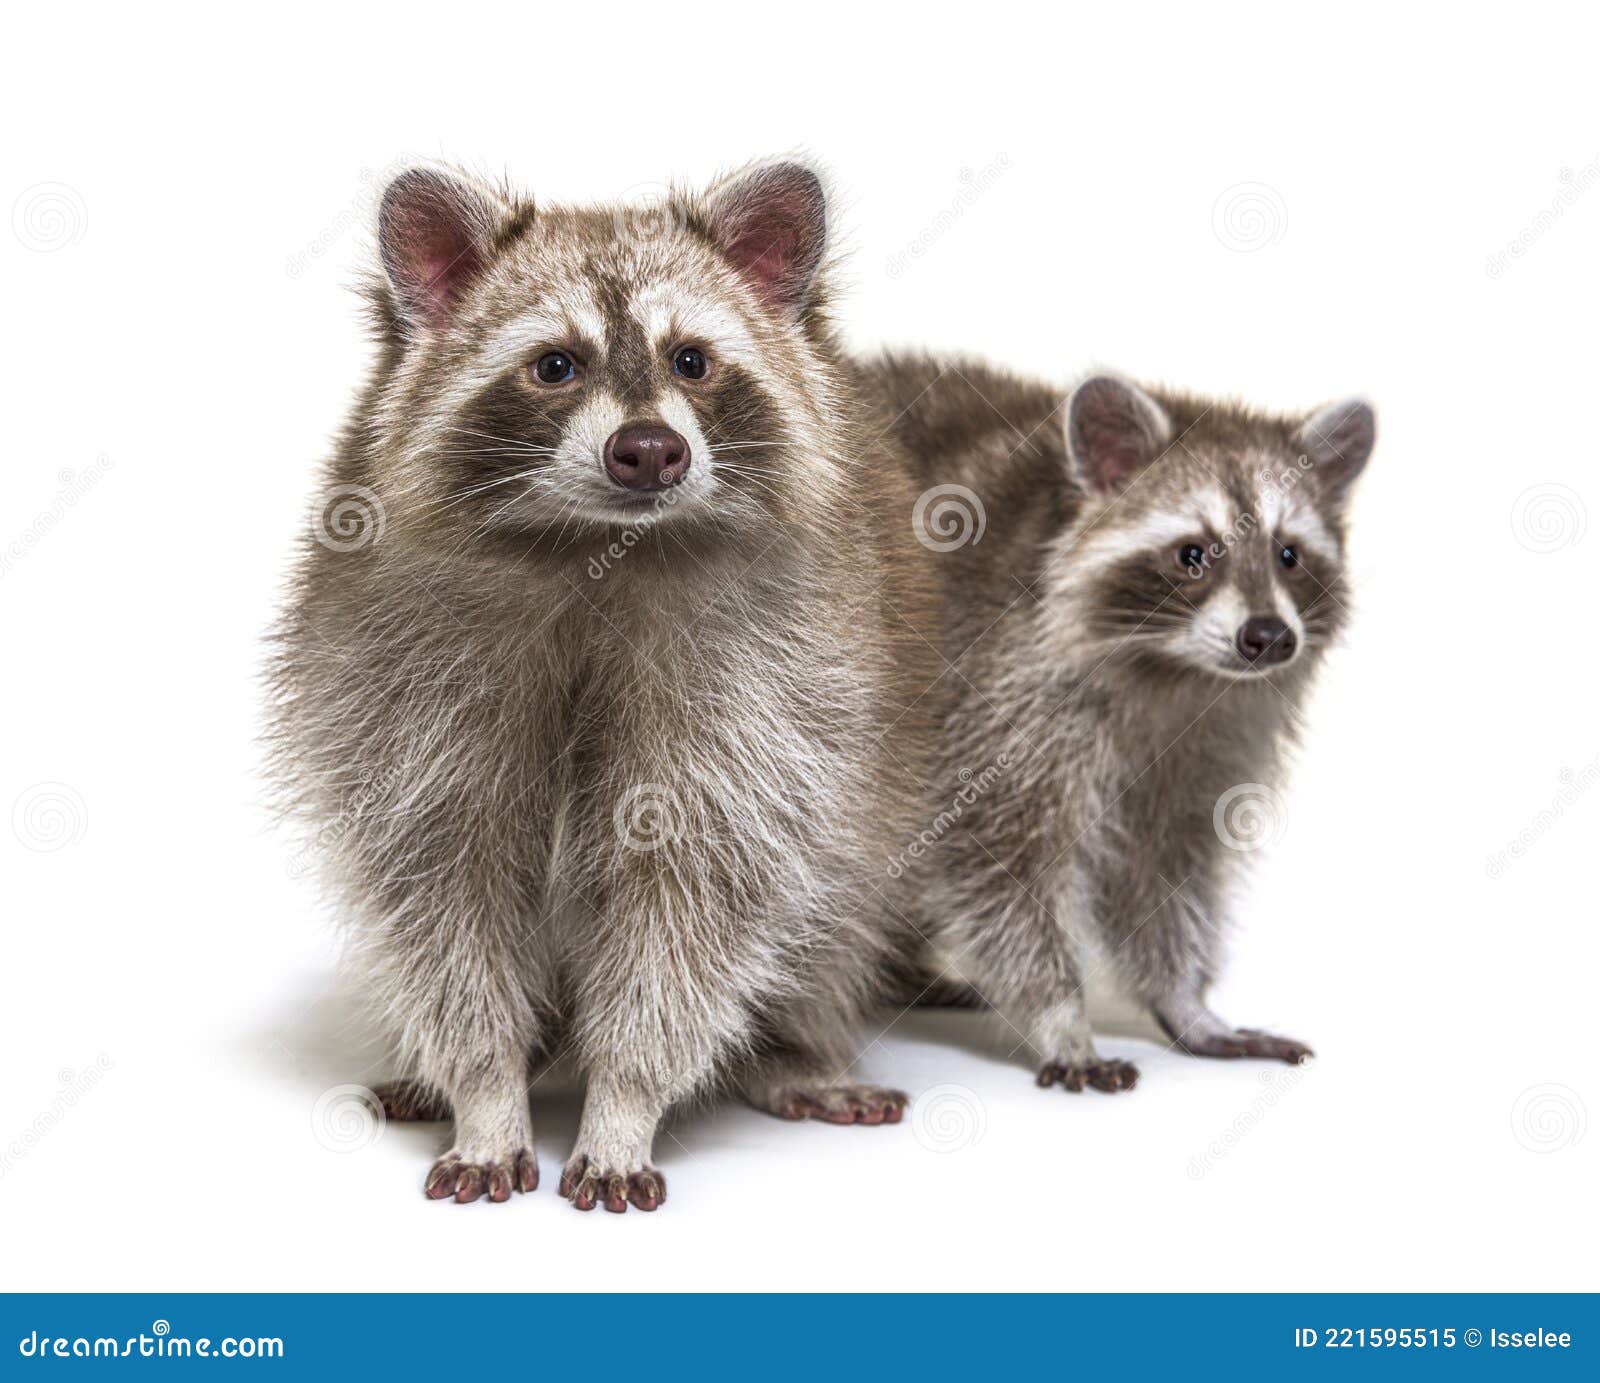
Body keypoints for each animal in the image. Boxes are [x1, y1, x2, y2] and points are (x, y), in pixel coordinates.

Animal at [267, 163, 940, 1209]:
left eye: (692, 360)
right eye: (555, 366)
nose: (650, 448)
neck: (600, 545)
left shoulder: (770, 690)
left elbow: (691, 910)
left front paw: (624, 1104)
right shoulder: (399, 679)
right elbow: (443, 897)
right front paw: (484, 1091)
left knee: (830, 922)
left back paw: (800, 1049)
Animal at [870, 355, 1374, 1091]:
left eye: (1288, 554)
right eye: (1195, 553)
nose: (1268, 637)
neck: (1174, 670)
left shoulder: (1212, 732)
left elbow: (1167, 865)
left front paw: (1185, 1000)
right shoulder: (996, 692)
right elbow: (998, 863)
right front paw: (1061, 1015)